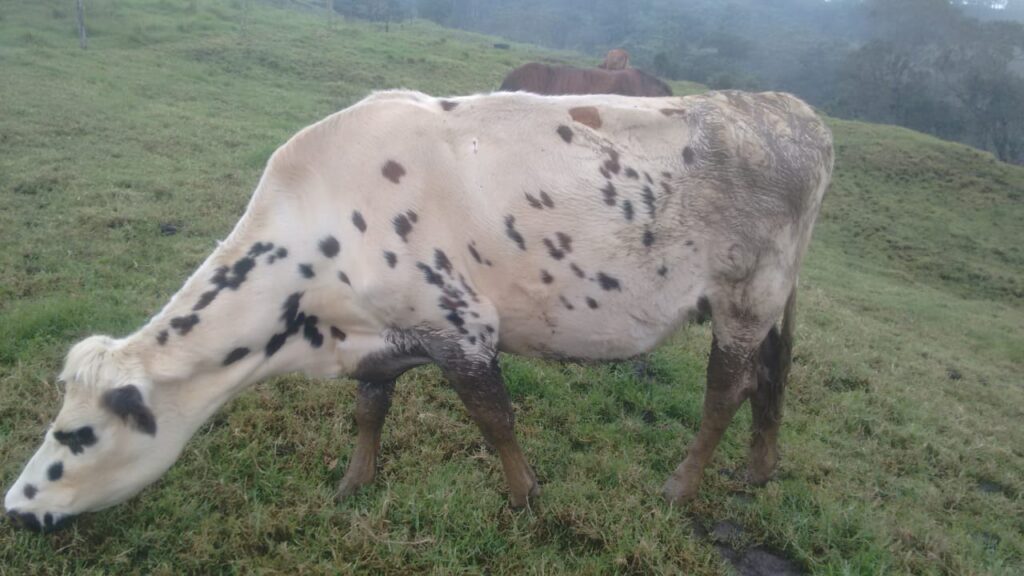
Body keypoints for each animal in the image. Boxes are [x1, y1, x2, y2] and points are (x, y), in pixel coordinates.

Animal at [4, 89, 832, 532]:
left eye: (76, 435)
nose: (14, 507)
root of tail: (790, 110)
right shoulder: (380, 336)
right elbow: (370, 408)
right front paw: (353, 483)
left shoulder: (461, 325)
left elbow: (495, 418)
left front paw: (524, 499)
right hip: (777, 293)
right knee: (776, 374)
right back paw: (758, 470)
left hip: (745, 291)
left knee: (728, 387)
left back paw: (682, 486)